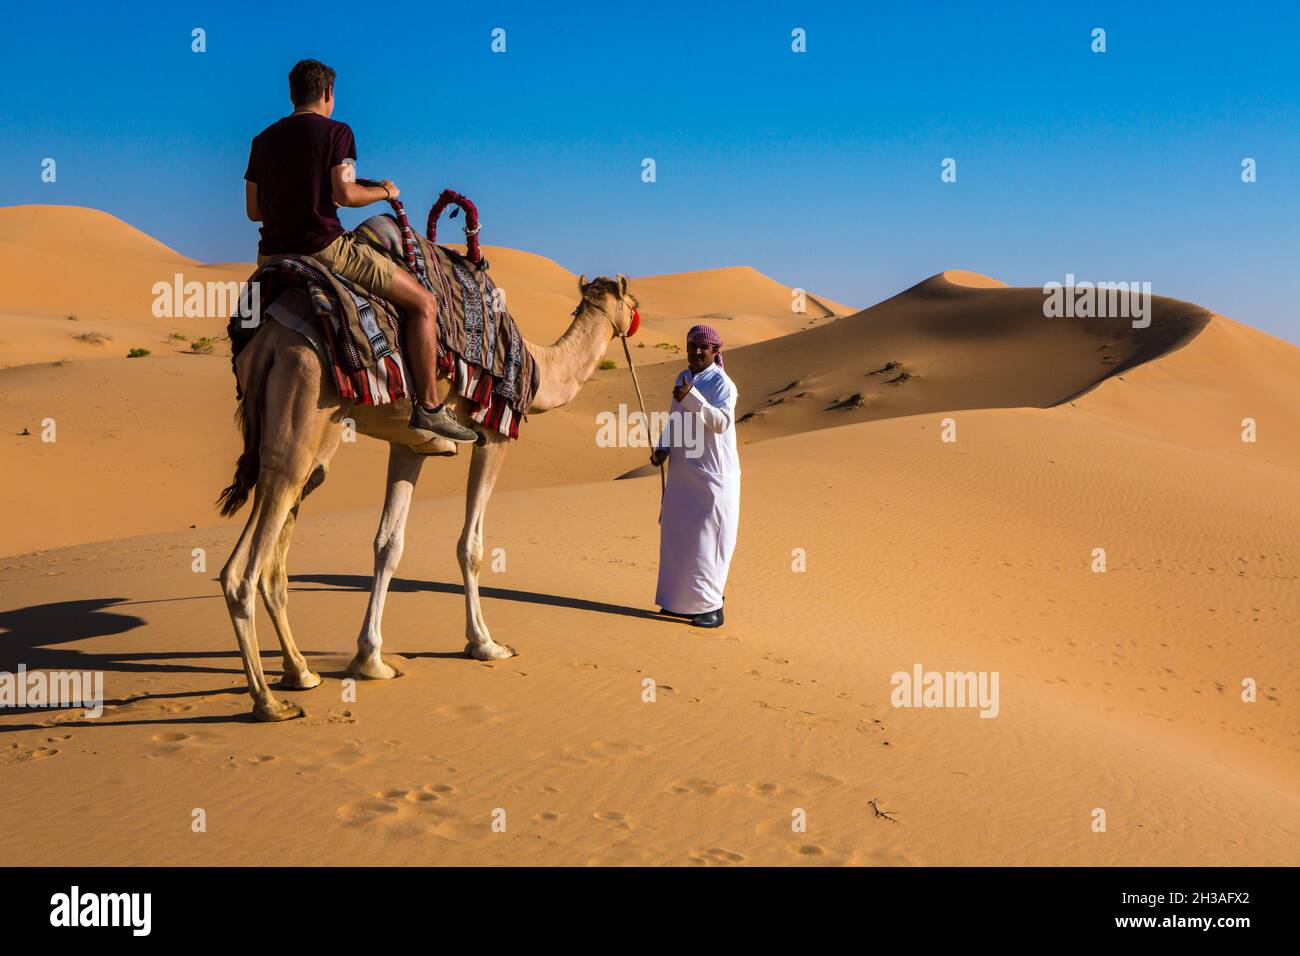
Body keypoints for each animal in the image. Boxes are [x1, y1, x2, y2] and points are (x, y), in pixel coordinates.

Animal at [216, 271, 639, 721]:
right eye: (630, 299)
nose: (635, 316)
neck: (540, 369)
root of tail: (268, 341)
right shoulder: (494, 432)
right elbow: (471, 546)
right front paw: (485, 643)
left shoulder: (410, 444)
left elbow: (388, 544)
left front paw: (371, 660)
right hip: (305, 404)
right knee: (243, 570)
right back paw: (269, 702)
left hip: (299, 437)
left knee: (274, 542)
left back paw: (300, 672)